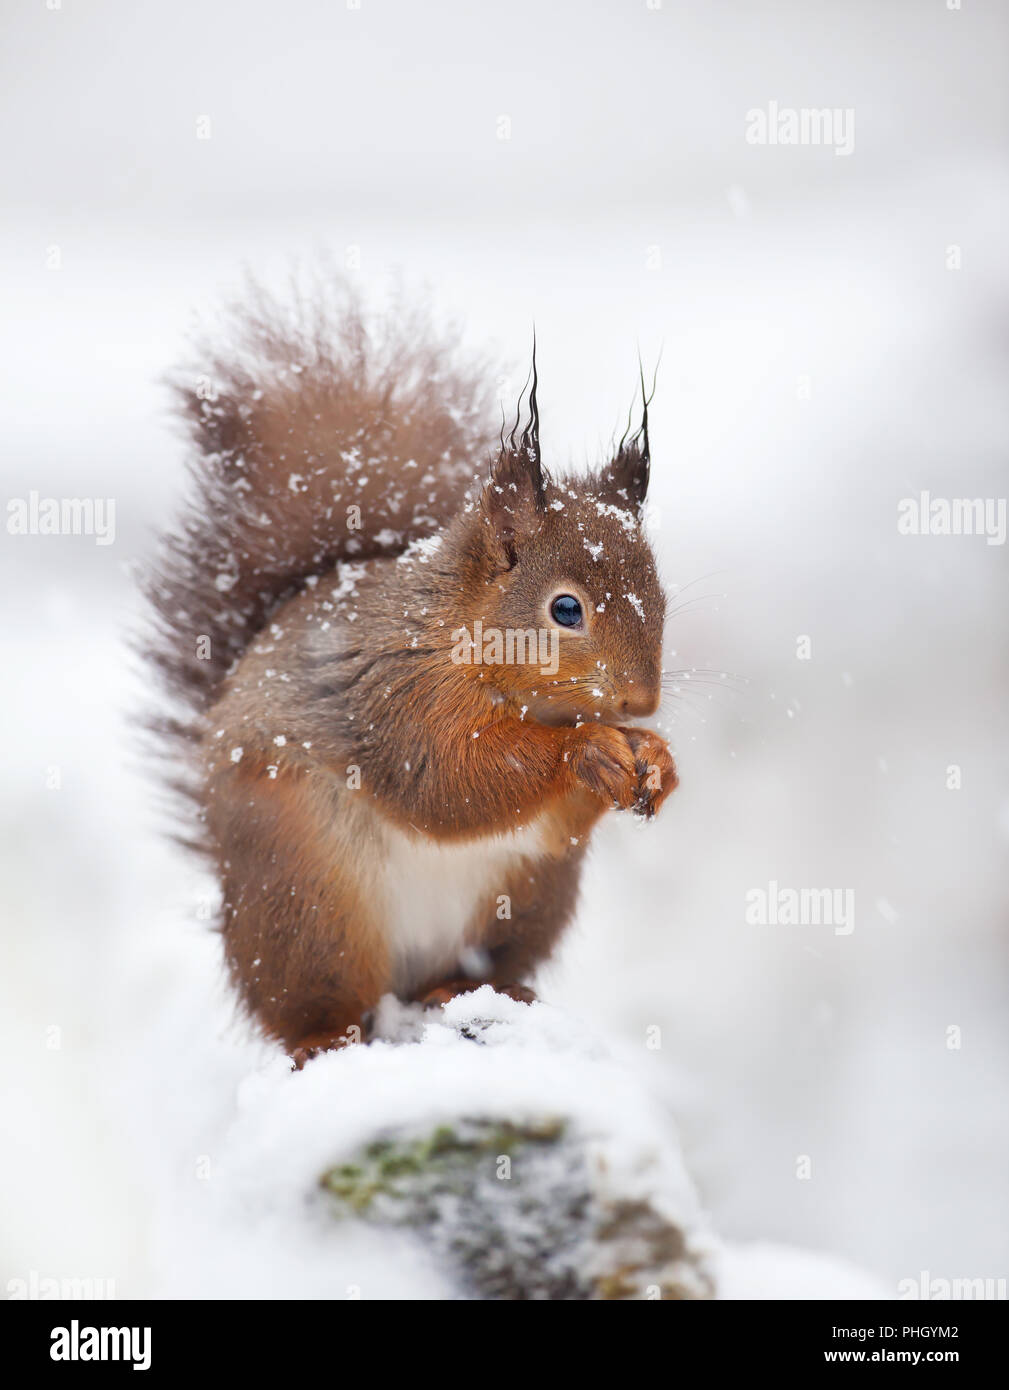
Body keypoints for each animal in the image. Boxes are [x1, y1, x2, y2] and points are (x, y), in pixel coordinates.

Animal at [145, 281, 677, 1065]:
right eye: (566, 608)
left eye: (661, 597)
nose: (641, 702)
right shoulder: (392, 694)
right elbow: (447, 780)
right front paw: (586, 751)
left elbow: (548, 820)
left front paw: (654, 761)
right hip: (308, 900)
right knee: (309, 1005)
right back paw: (323, 1037)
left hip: (527, 899)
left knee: (470, 966)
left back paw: (472, 990)